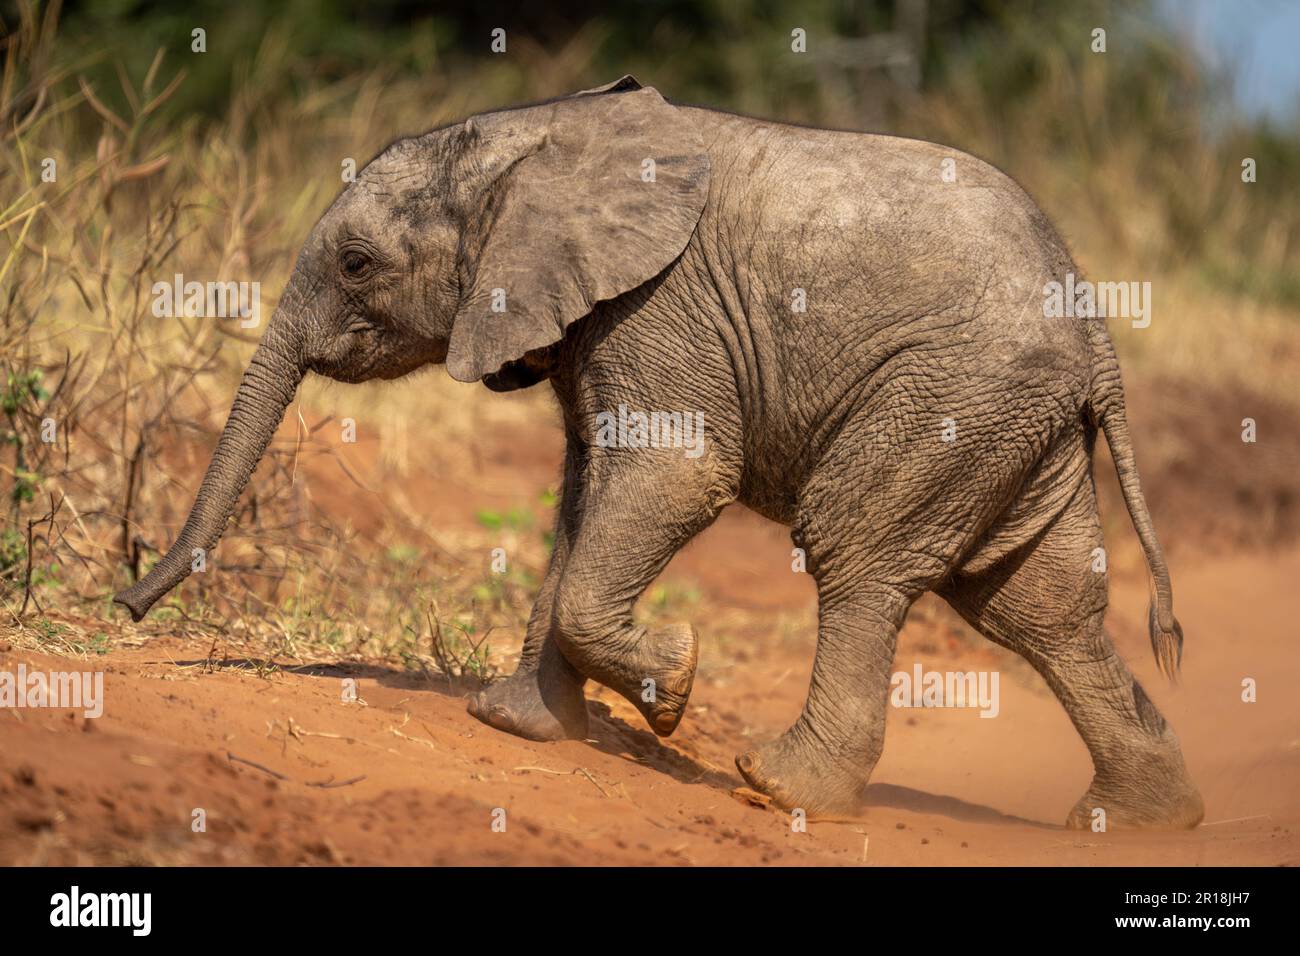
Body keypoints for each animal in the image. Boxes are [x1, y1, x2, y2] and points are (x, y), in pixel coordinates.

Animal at [115, 76, 1204, 828]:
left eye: (356, 263)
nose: (123, 600)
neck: (531, 135)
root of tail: (1095, 319)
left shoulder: (661, 301)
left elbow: (671, 473)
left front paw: (673, 683)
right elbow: (582, 494)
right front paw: (514, 722)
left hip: (950, 395)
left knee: (860, 556)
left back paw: (777, 787)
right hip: (1012, 421)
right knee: (1038, 607)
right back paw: (1137, 821)